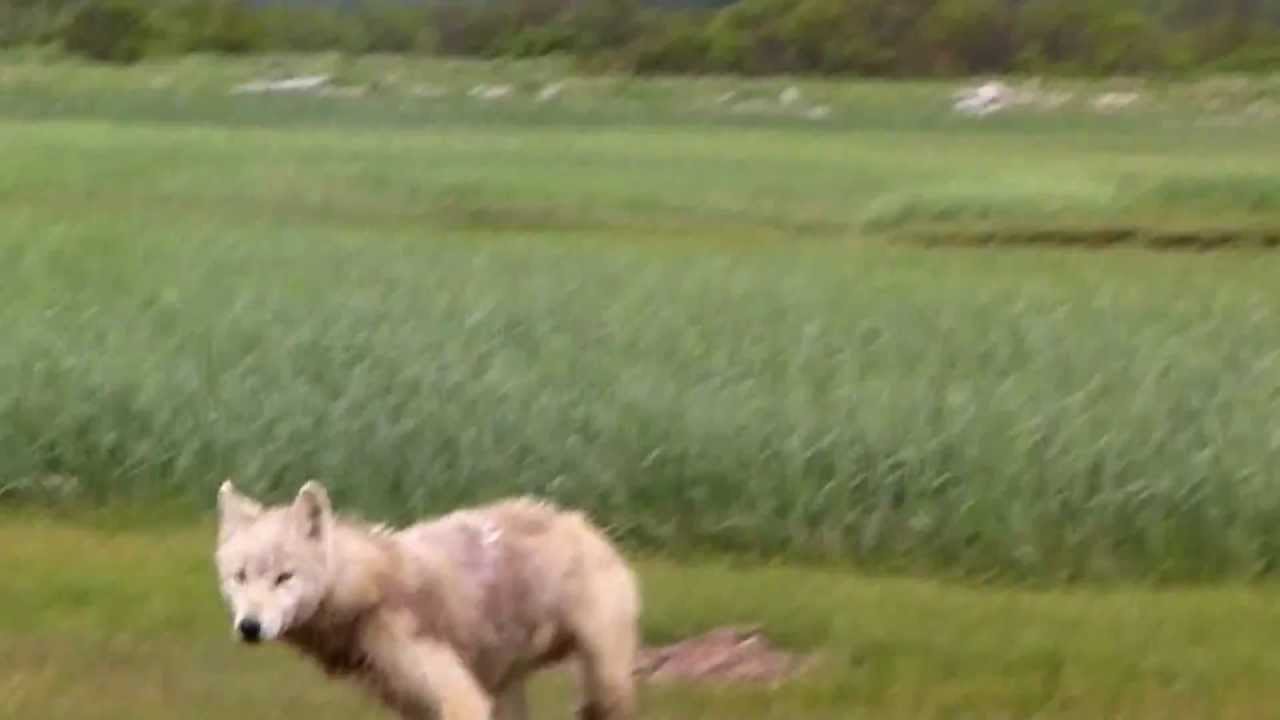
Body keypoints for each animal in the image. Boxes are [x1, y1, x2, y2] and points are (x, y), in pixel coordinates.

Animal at [214, 480, 641, 720]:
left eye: (284, 577)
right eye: (240, 576)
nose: (249, 627)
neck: (365, 594)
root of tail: (586, 525)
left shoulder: (460, 699)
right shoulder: (416, 707)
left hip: (605, 689)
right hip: (507, 693)